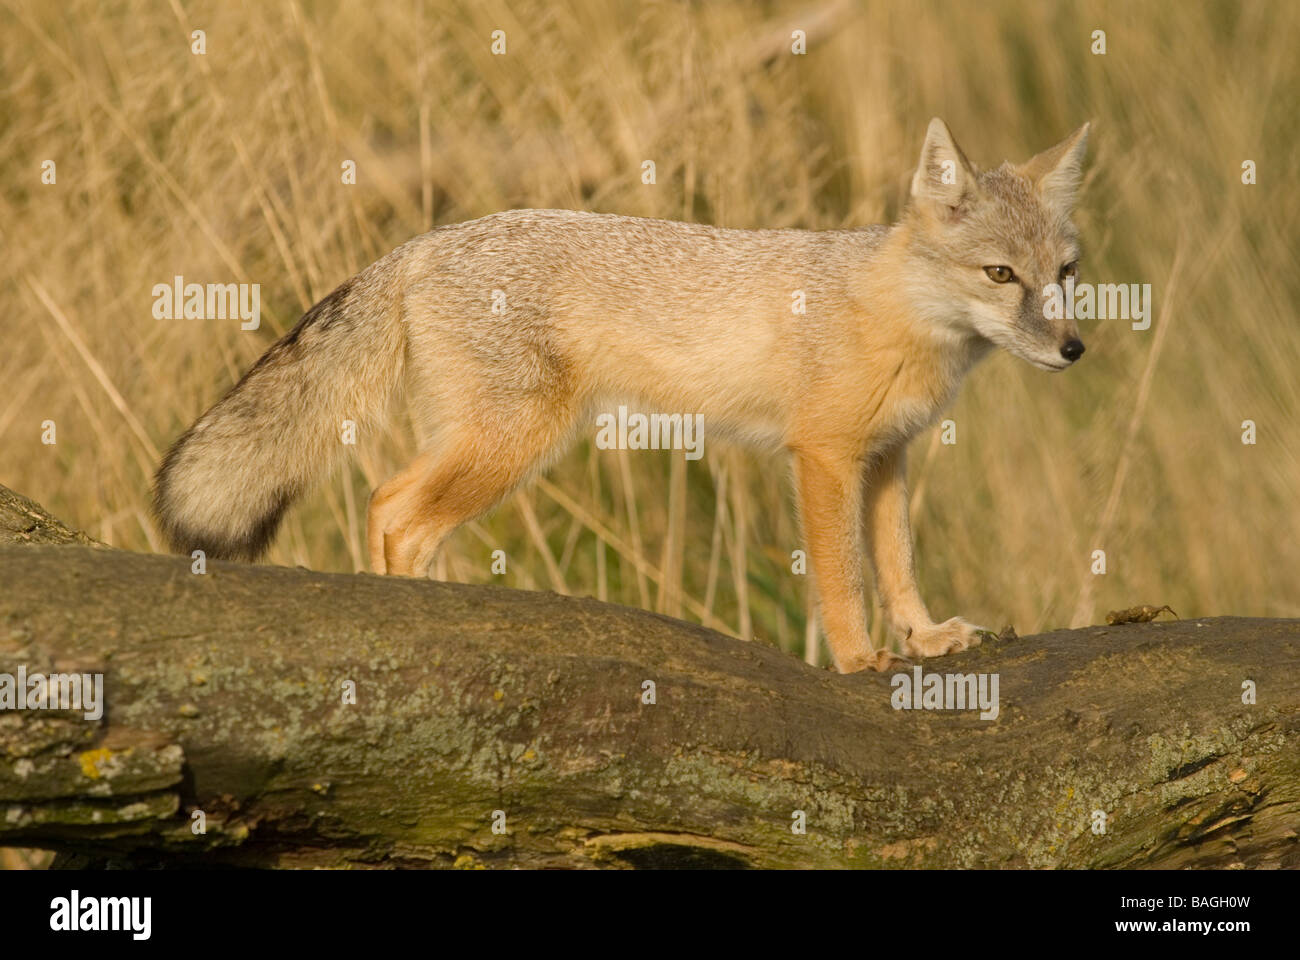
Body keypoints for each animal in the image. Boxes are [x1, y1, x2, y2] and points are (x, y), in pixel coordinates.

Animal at [154, 117, 1090, 674]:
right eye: (1000, 276)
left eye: (1066, 274)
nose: (1075, 349)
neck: (895, 310)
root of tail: (423, 242)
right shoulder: (823, 456)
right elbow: (842, 579)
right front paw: (861, 661)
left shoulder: (888, 456)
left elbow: (897, 566)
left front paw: (926, 637)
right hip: (511, 442)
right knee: (394, 506)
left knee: (391, 504)